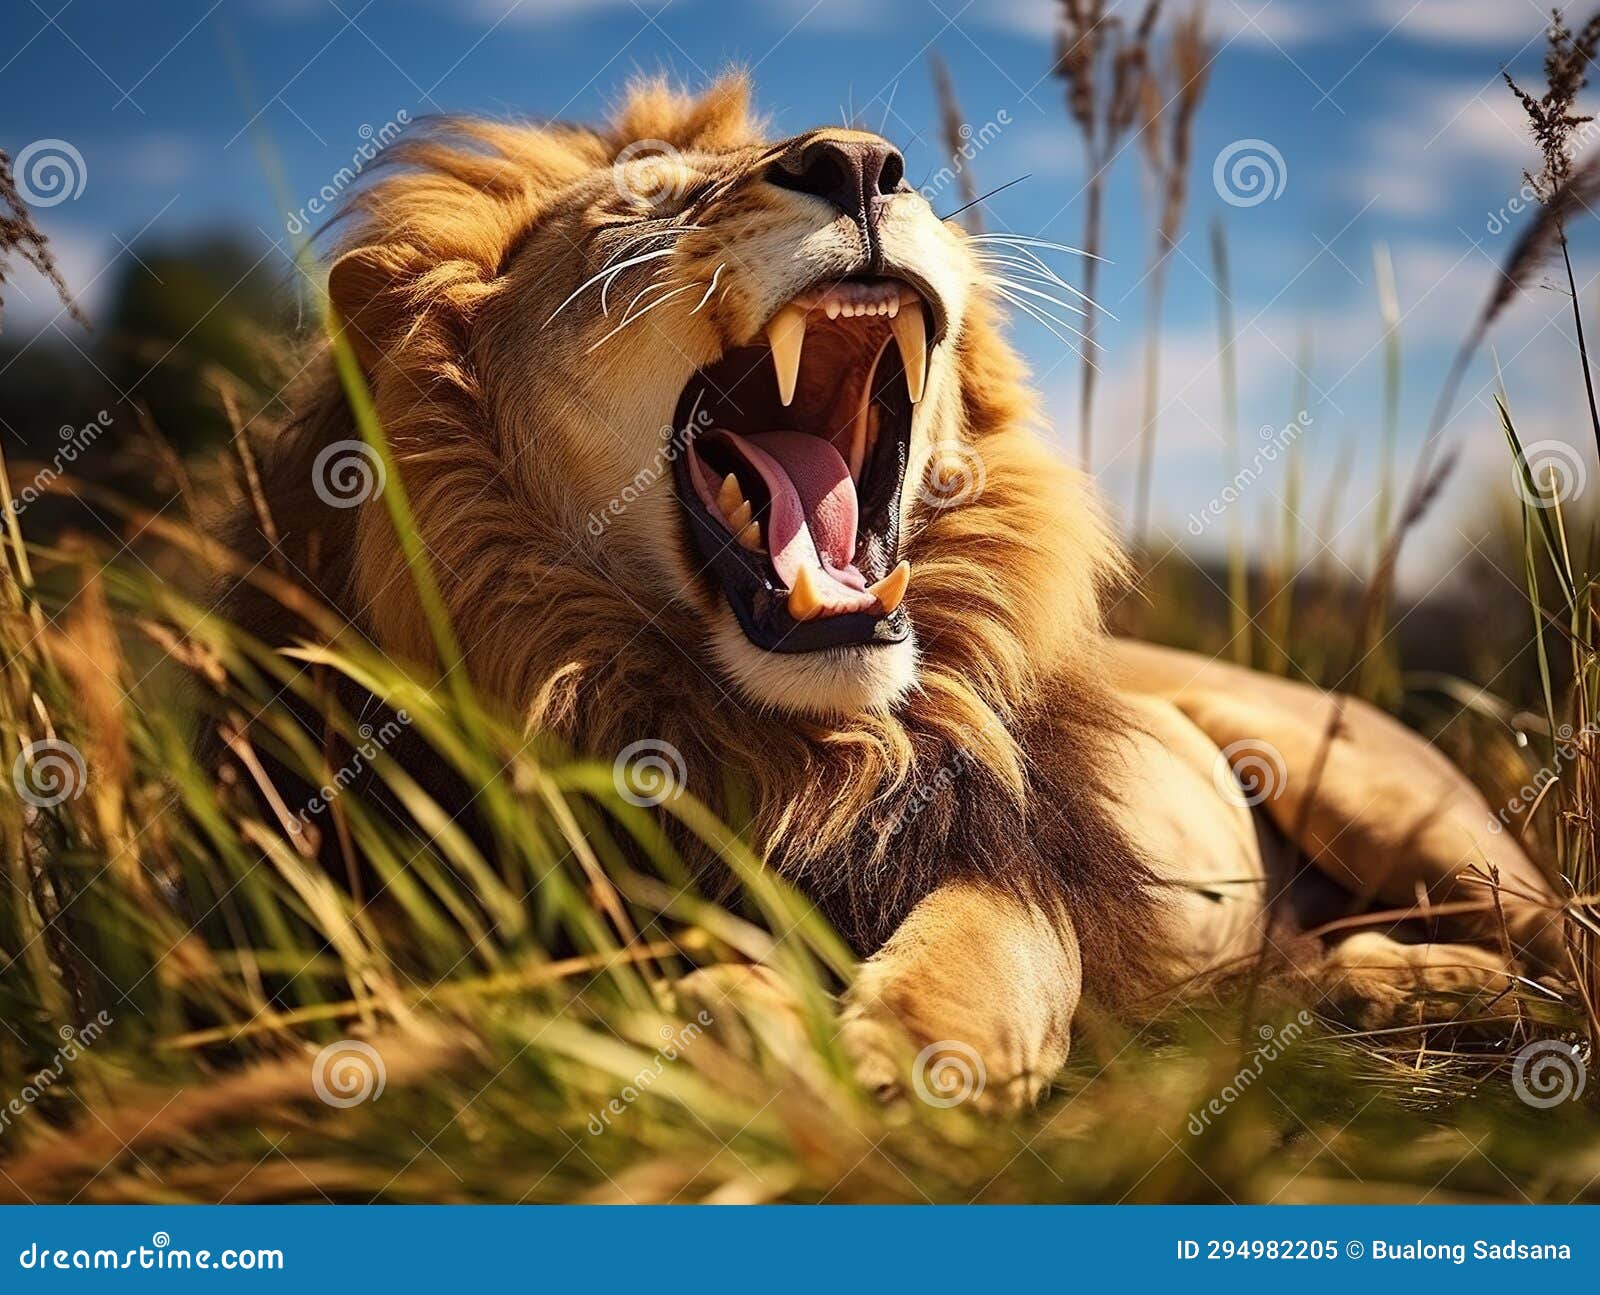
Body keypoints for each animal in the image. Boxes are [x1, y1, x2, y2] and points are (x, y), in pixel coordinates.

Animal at [220, 74, 1563, 1109]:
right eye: (636, 212)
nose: (860, 159)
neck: (787, 736)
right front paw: (742, 1020)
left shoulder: (1005, 853)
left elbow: (991, 940)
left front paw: (916, 1049)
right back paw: (1355, 982)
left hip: (1391, 801)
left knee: (1552, 931)